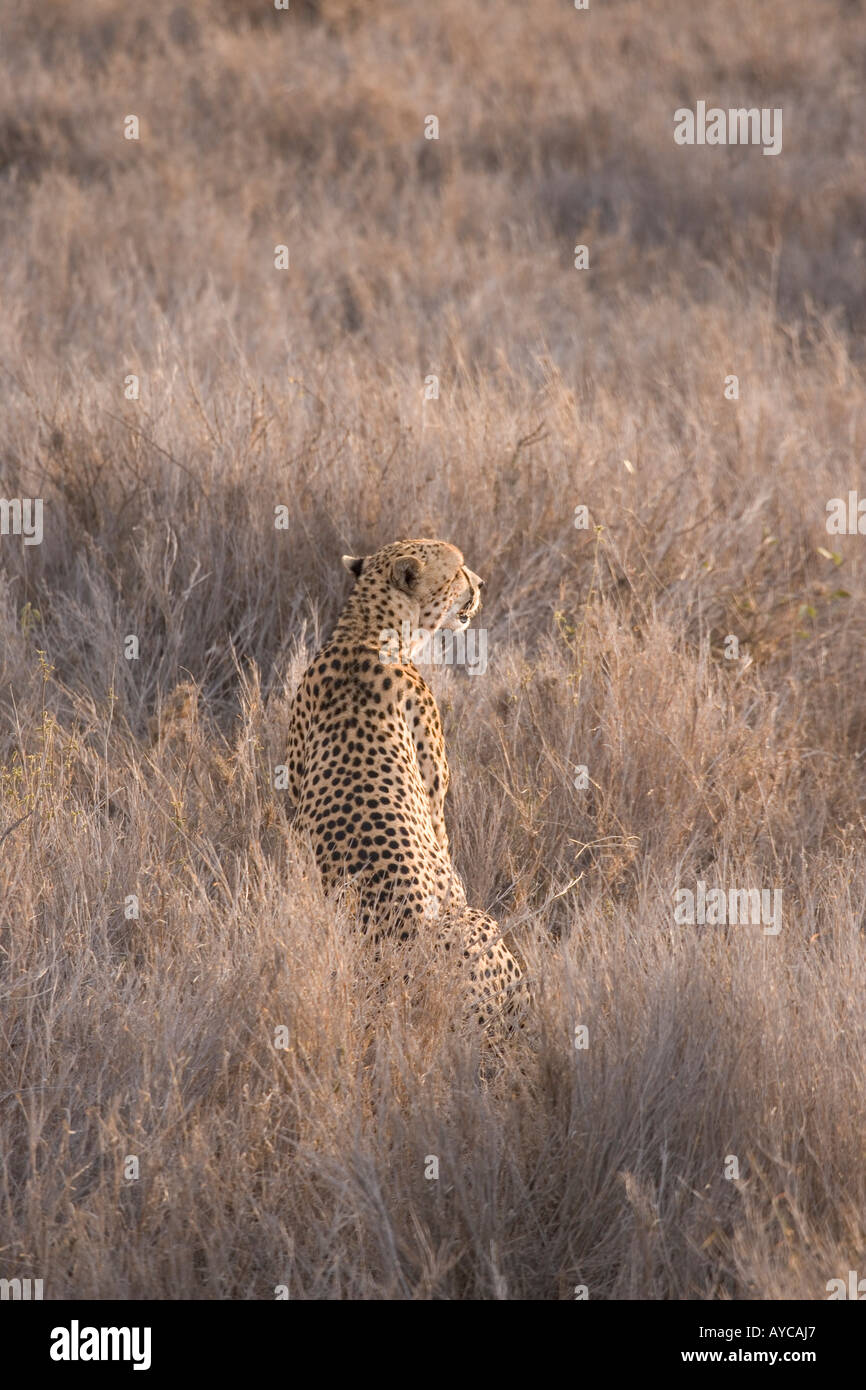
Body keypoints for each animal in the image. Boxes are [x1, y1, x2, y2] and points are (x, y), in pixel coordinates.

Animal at [285, 538, 528, 1030]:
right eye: (458, 571)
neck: (363, 630)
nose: (481, 583)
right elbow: (444, 847)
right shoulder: (434, 797)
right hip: (482, 927)